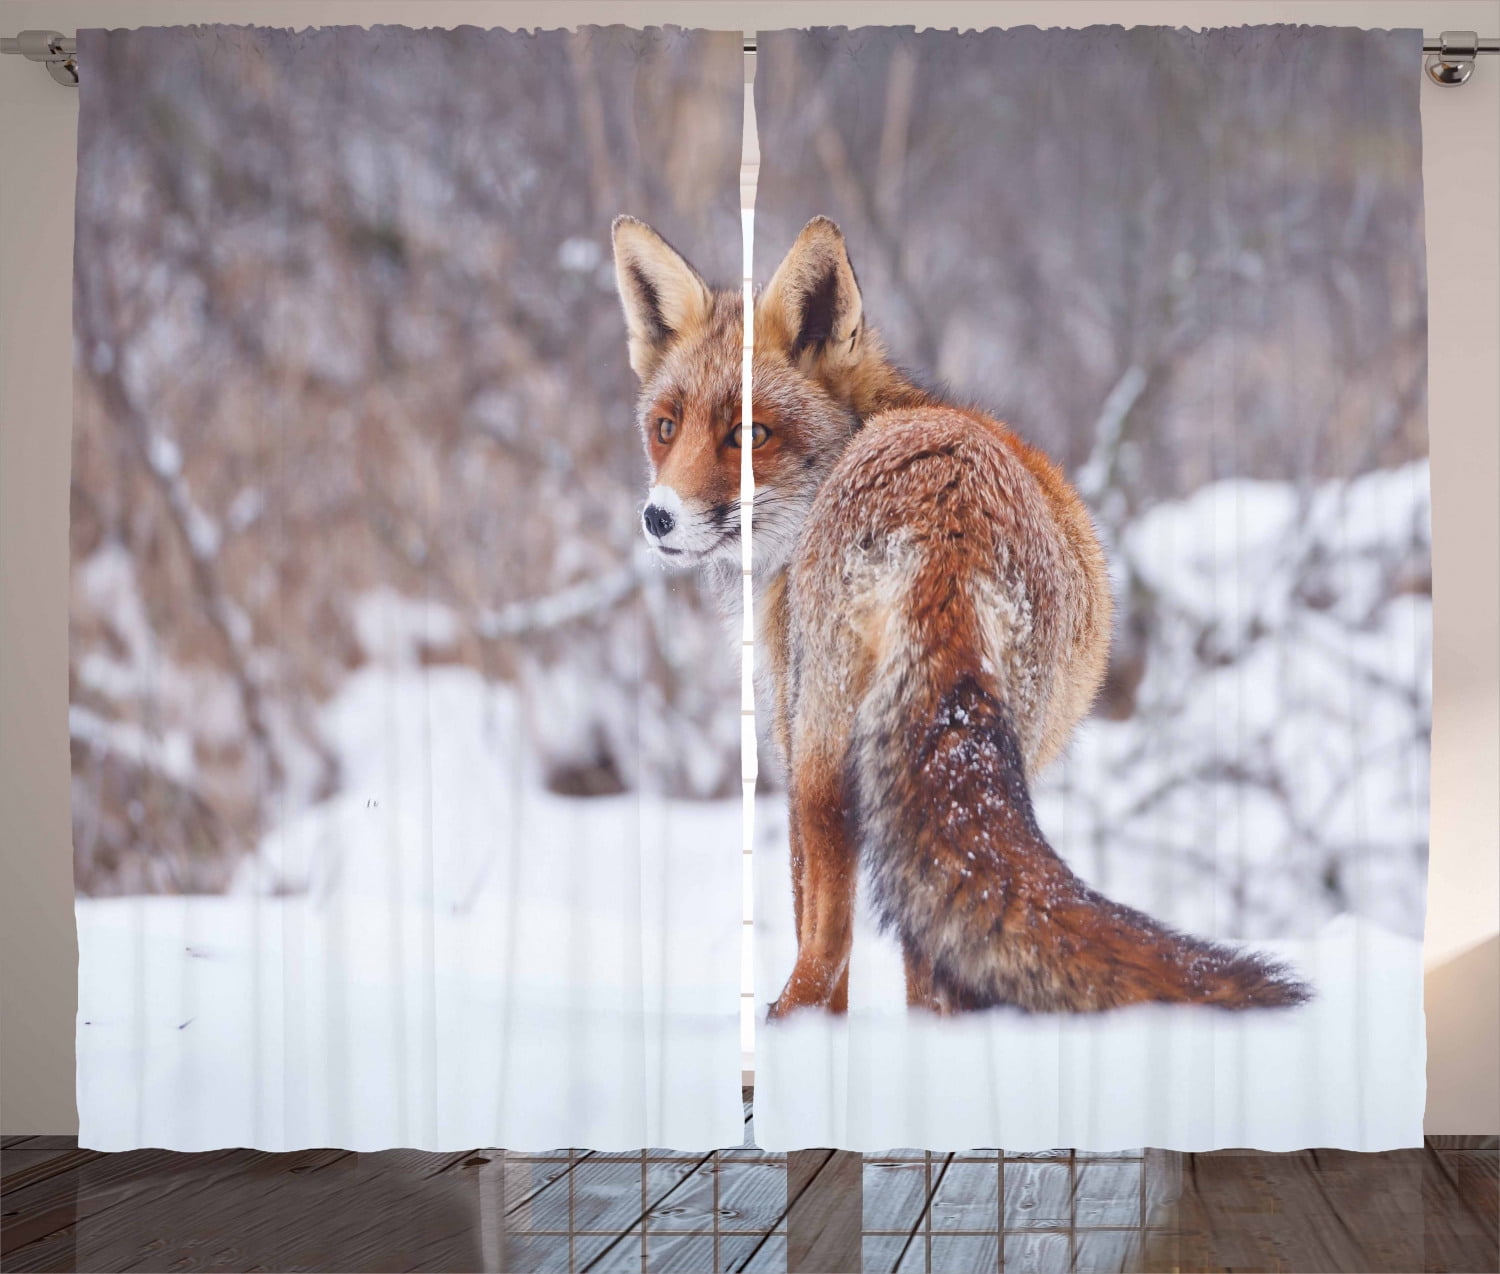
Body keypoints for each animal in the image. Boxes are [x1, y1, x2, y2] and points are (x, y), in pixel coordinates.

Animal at [611, 213, 1311, 1016]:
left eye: (750, 434)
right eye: (667, 427)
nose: (659, 518)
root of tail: (951, 515)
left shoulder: (790, 745)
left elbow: (818, 934)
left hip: (827, 761)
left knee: (829, 947)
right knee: (939, 959)